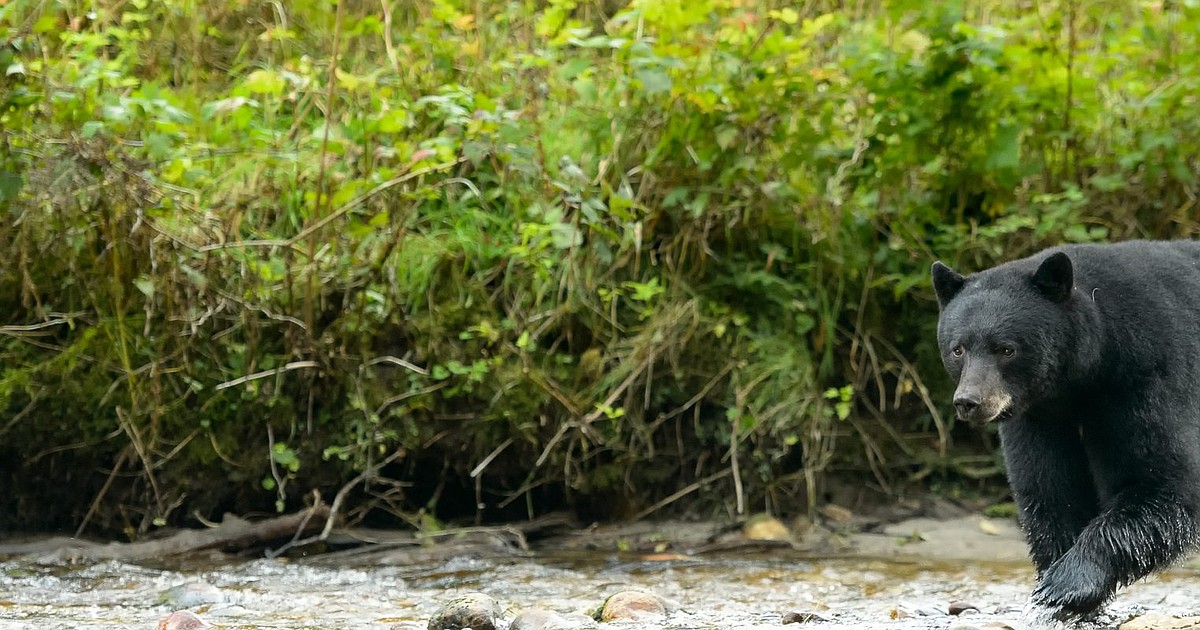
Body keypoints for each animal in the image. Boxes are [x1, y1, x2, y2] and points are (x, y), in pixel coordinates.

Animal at [931, 240, 1200, 620]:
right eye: (958, 348)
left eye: (1006, 348)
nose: (969, 401)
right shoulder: (1038, 416)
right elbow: (1051, 491)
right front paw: (1059, 588)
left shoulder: (1150, 377)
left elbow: (1162, 484)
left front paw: (1064, 586)